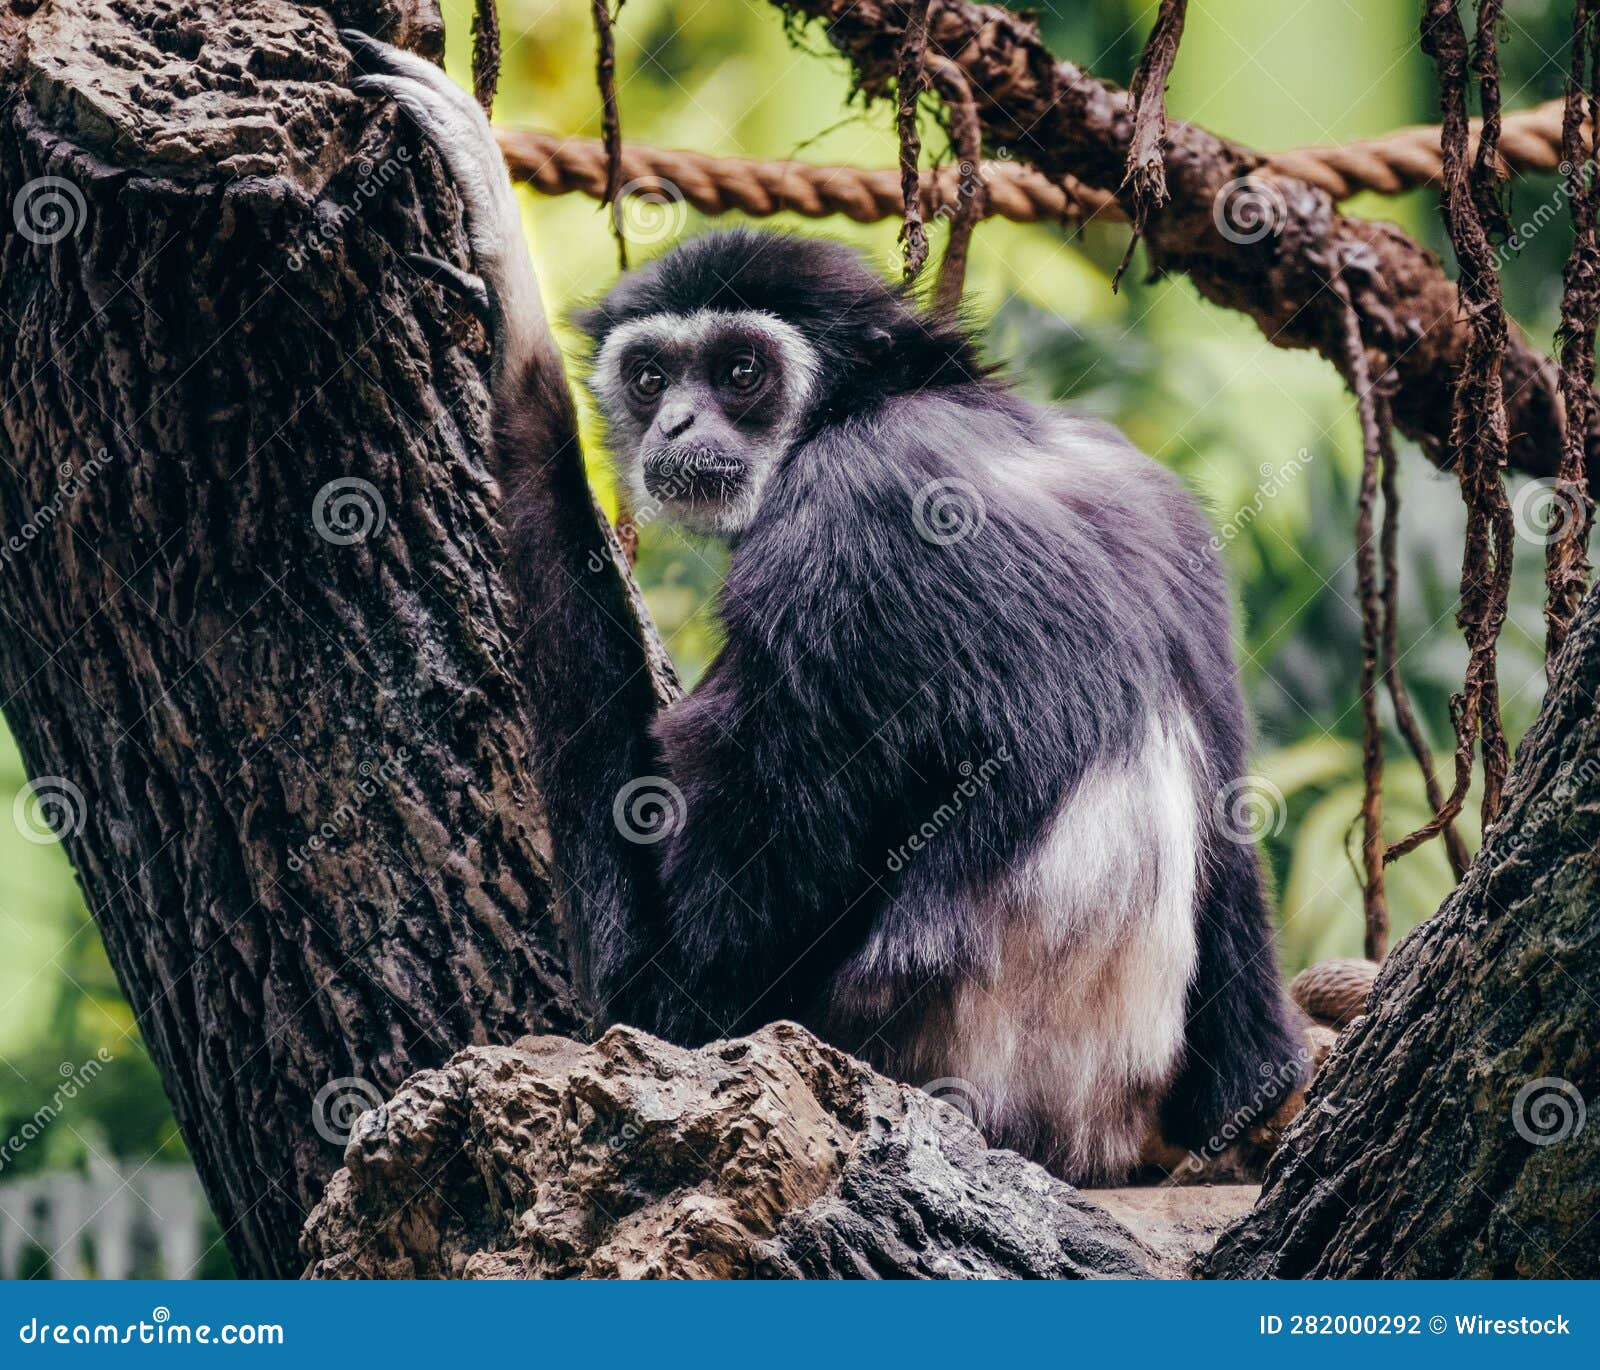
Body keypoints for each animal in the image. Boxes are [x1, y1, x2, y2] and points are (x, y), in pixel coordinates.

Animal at [345, 32, 1308, 1183]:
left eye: (740, 371)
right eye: (653, 375)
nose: (675, 424)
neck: (900, 409)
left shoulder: (836, 540)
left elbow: (668, 998)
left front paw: (511, 321)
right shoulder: (1142, 487)